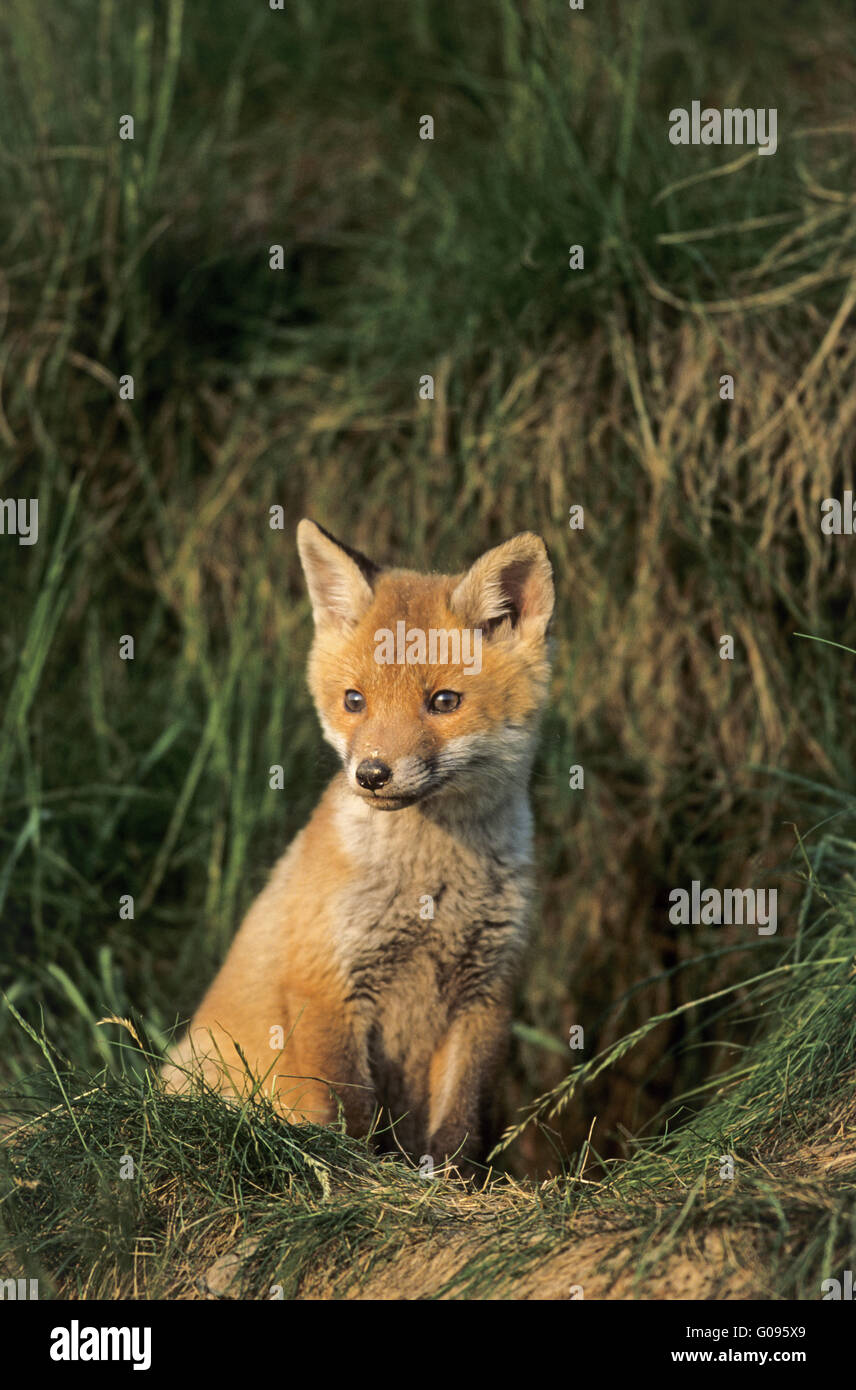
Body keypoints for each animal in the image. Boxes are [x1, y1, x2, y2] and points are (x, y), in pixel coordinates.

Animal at [161, 520, 554, 1173]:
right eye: (354, 701)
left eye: (444, 702)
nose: (371, 774)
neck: (431, 892)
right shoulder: (329, 988)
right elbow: (347, 1114)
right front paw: (355, 1176)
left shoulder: (486, 995)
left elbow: (457, 1126)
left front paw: (447, 1184)